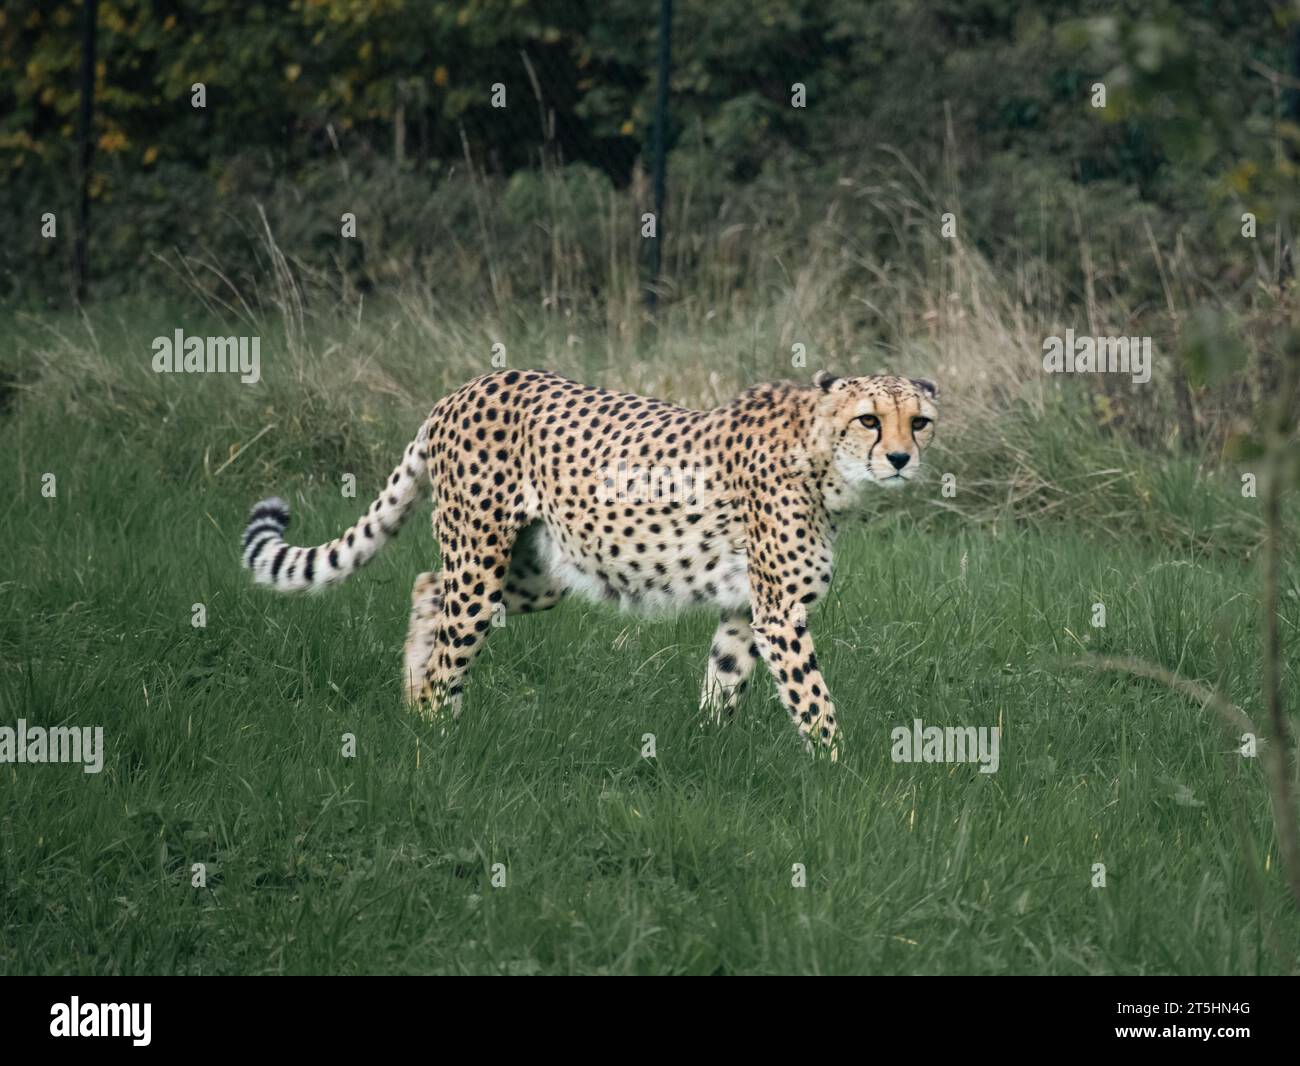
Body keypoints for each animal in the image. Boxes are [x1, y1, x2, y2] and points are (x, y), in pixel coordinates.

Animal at [240, 368, 939, 758]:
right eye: (870, 420)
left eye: (920, 422)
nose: (901, 458)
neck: (823, 459)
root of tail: (464, 388)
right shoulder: (781, 612)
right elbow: (814, 701)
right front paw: (839, 769)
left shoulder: (747, 609)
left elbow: (724, 681)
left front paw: (711, 751)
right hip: (482, 560)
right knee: (449, 633)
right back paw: (436, 726)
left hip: (537, 571)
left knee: (428, 585)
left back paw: (416, 704)